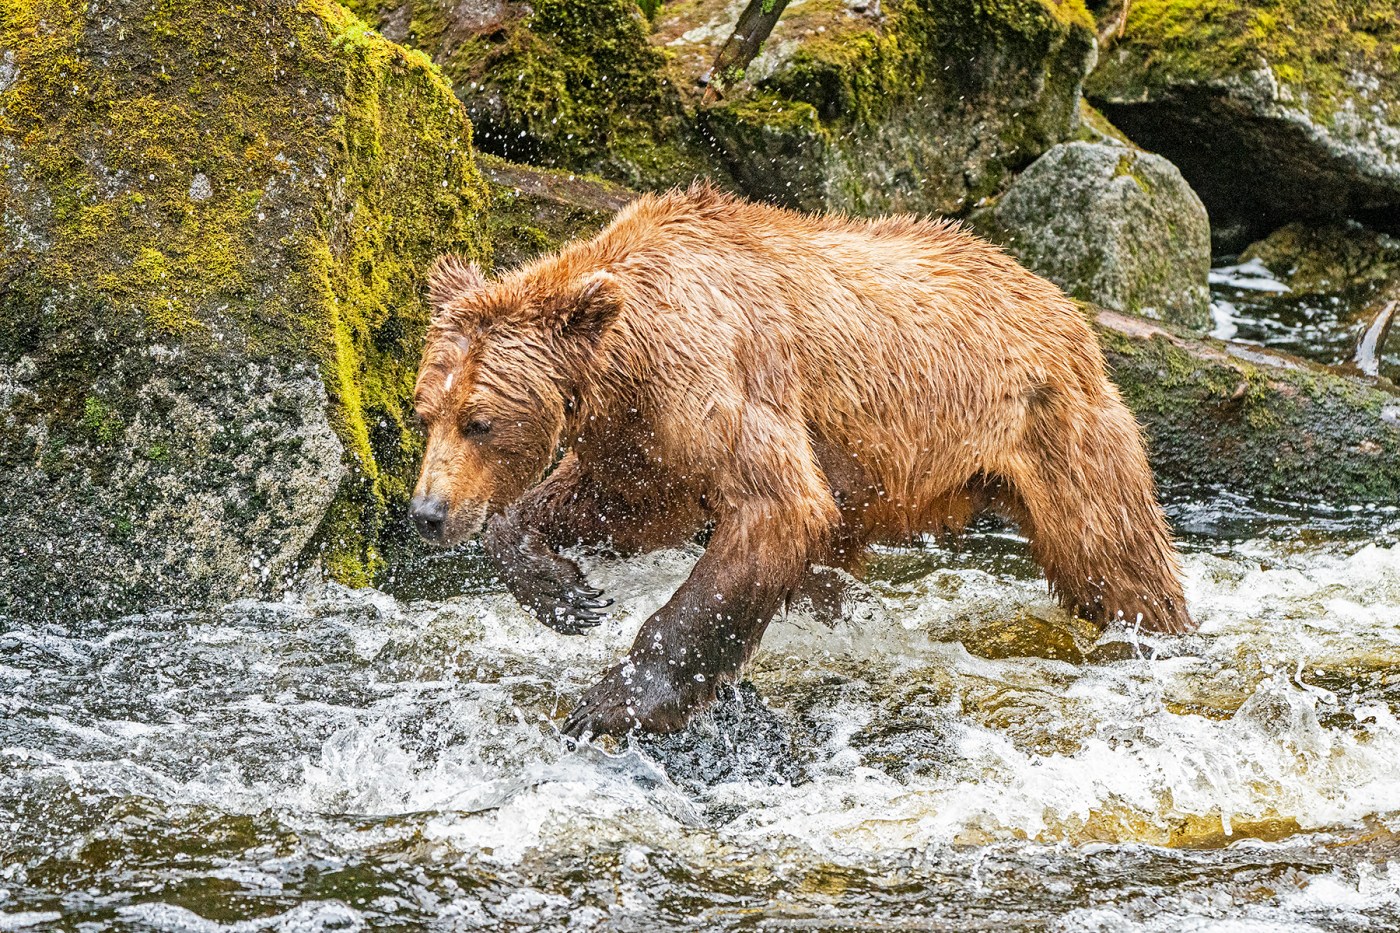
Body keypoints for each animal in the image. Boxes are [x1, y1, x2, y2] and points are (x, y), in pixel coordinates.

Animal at [409, 184, 1194, 738]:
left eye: (479, 421)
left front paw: (612, 700)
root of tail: (1063, 300)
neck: (622, 365)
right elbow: (622, 503)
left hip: (1052, 423)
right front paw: (563, 589)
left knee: (1111, 552)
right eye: (425, 412)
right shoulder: (643, 433)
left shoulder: (714, 379)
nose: (427, 513)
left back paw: (1160, 633)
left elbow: (776, 507)